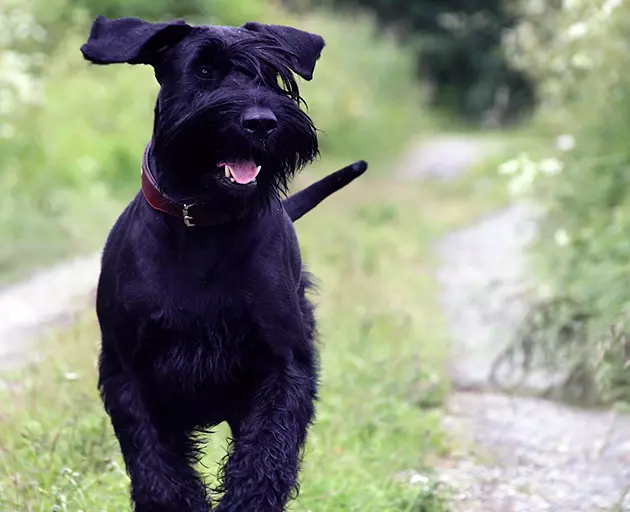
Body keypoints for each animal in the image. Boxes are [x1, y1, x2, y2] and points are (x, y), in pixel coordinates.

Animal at [83, 14, 368, 510]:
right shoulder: (128, 374)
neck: (203, 224)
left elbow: (264, 457)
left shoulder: (282, 366)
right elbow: (157, 468)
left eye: (272, 75)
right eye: (203, 71)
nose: (261, 122)